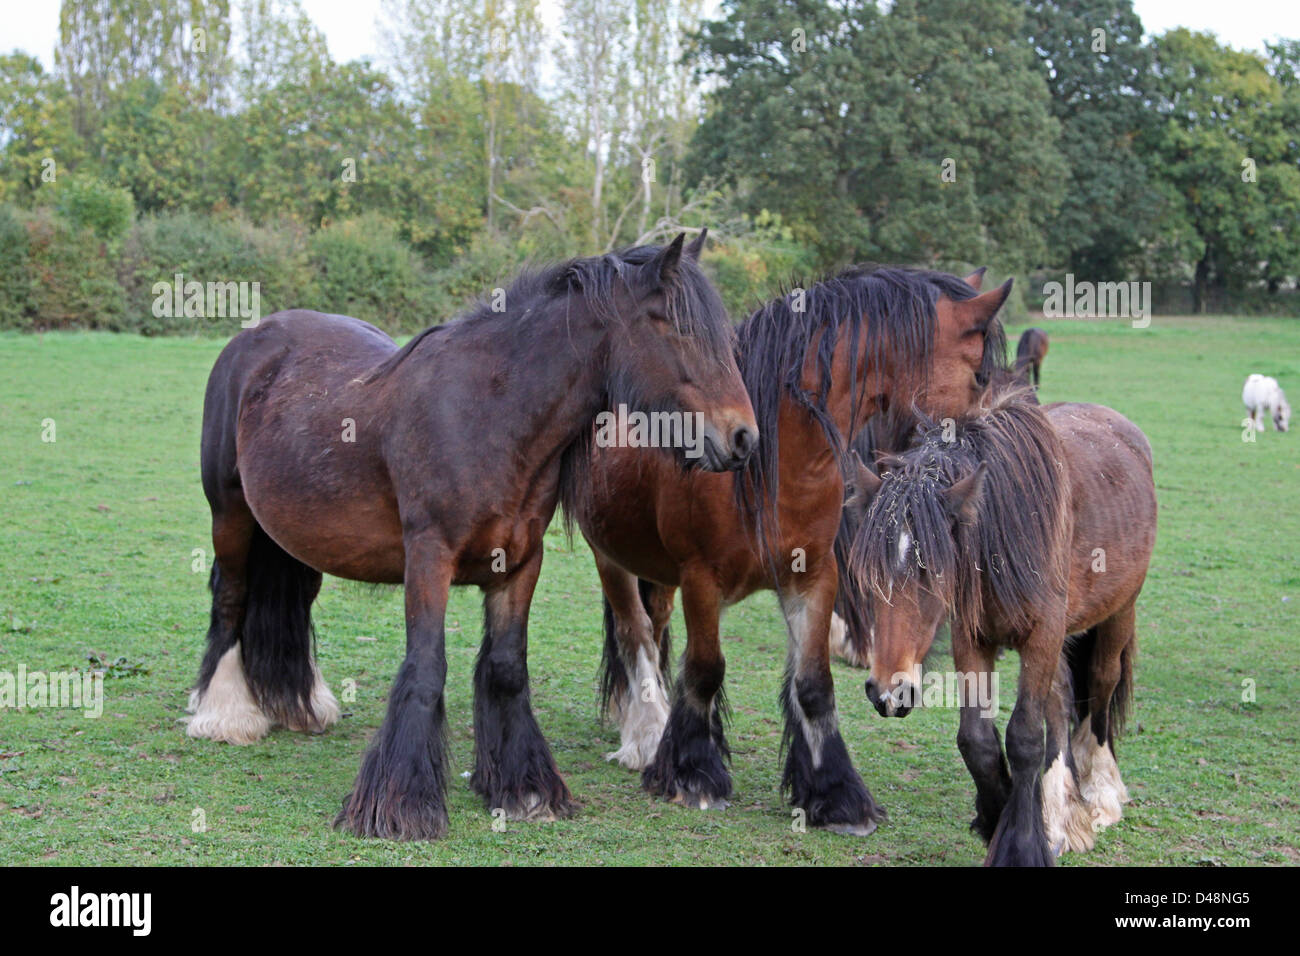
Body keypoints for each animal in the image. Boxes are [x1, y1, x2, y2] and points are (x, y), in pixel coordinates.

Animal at [186, 233, 761, 840]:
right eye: (677, 328)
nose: (743, 437)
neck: (488, 415)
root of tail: (253, 339)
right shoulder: (429, 558)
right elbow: (425, 668)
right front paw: (402, 806)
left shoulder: (521, 562)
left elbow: (506, 669)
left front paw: (525, 790)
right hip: (231, 517)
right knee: (231, 600)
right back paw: (225, 714)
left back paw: (298, 706)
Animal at [565, 265, 1012, 834]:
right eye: (979, 376)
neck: (775, 460)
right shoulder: (701, 579)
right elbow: (705, 670)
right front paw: (692, 776)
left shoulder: (815, 579)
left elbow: (814, 683)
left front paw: (836, 796)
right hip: (611, 557)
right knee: (635, 635)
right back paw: (644, 737)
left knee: (655, 625)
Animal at [843, 385, 1156, 864]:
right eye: (867, 578)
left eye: (934, 574)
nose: (888, 693)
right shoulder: (973, 639)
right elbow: (977, 739)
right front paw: (998, 817)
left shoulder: (1042, 635)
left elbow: (1024, 736)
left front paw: (1022, 843)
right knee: (1060, 698)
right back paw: (1061, 811)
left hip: (1120, 610)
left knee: (1103, 683)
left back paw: (1101, 793)